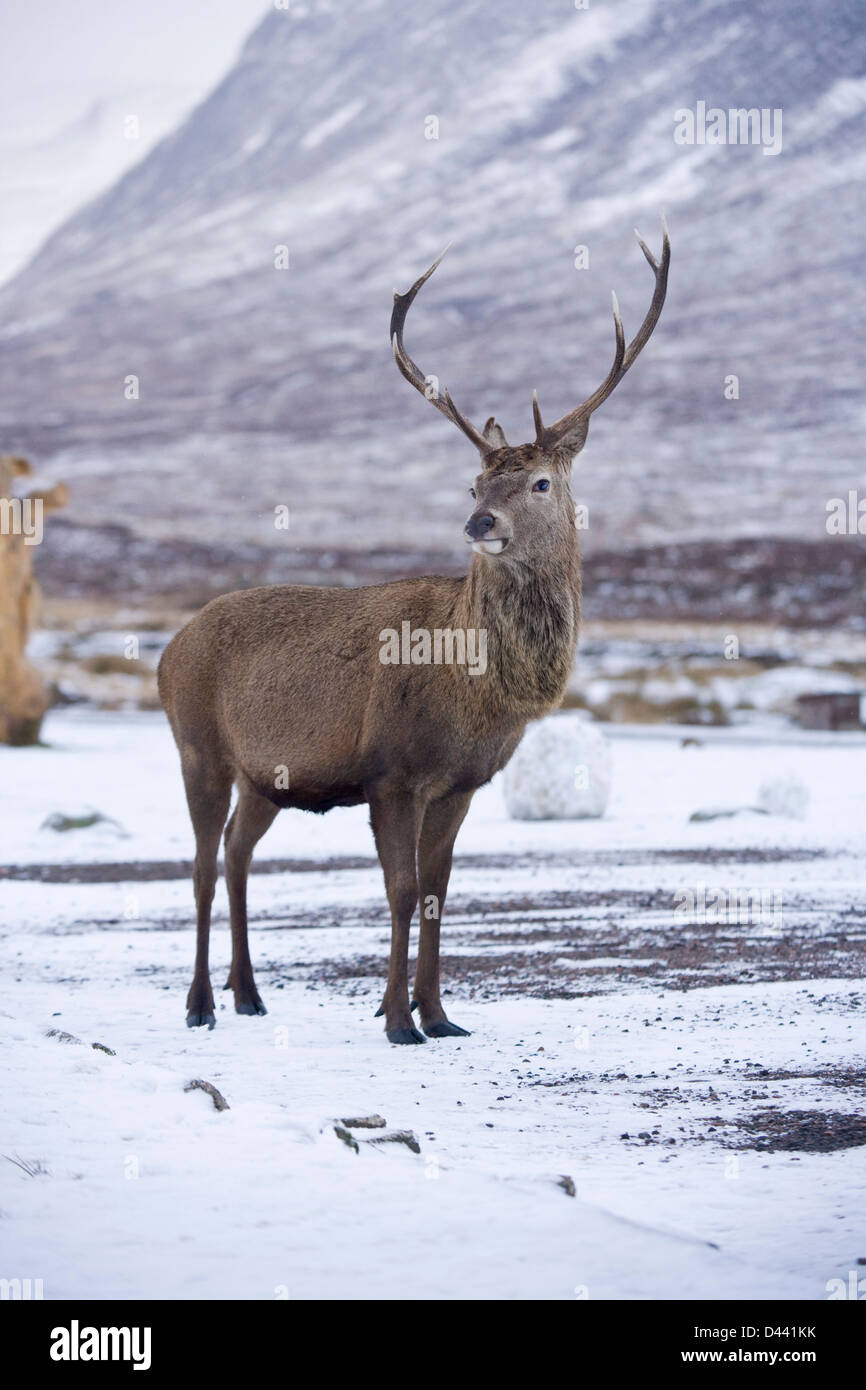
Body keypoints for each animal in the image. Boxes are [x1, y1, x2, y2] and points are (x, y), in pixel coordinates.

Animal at [158, 219, 670, 1043]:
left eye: (540, 482)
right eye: (474, 482)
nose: (479, 523)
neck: (476, 693)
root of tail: (165, 654)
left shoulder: (460, 783)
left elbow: (438, 889)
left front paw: (440, 1013)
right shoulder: (390, 772)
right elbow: (399, 889)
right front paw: (398, 1018)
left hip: (266, 774)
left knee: (237, 853)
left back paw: (249, 993)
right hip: (198, 745)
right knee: (202, 863)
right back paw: (201, 1002)